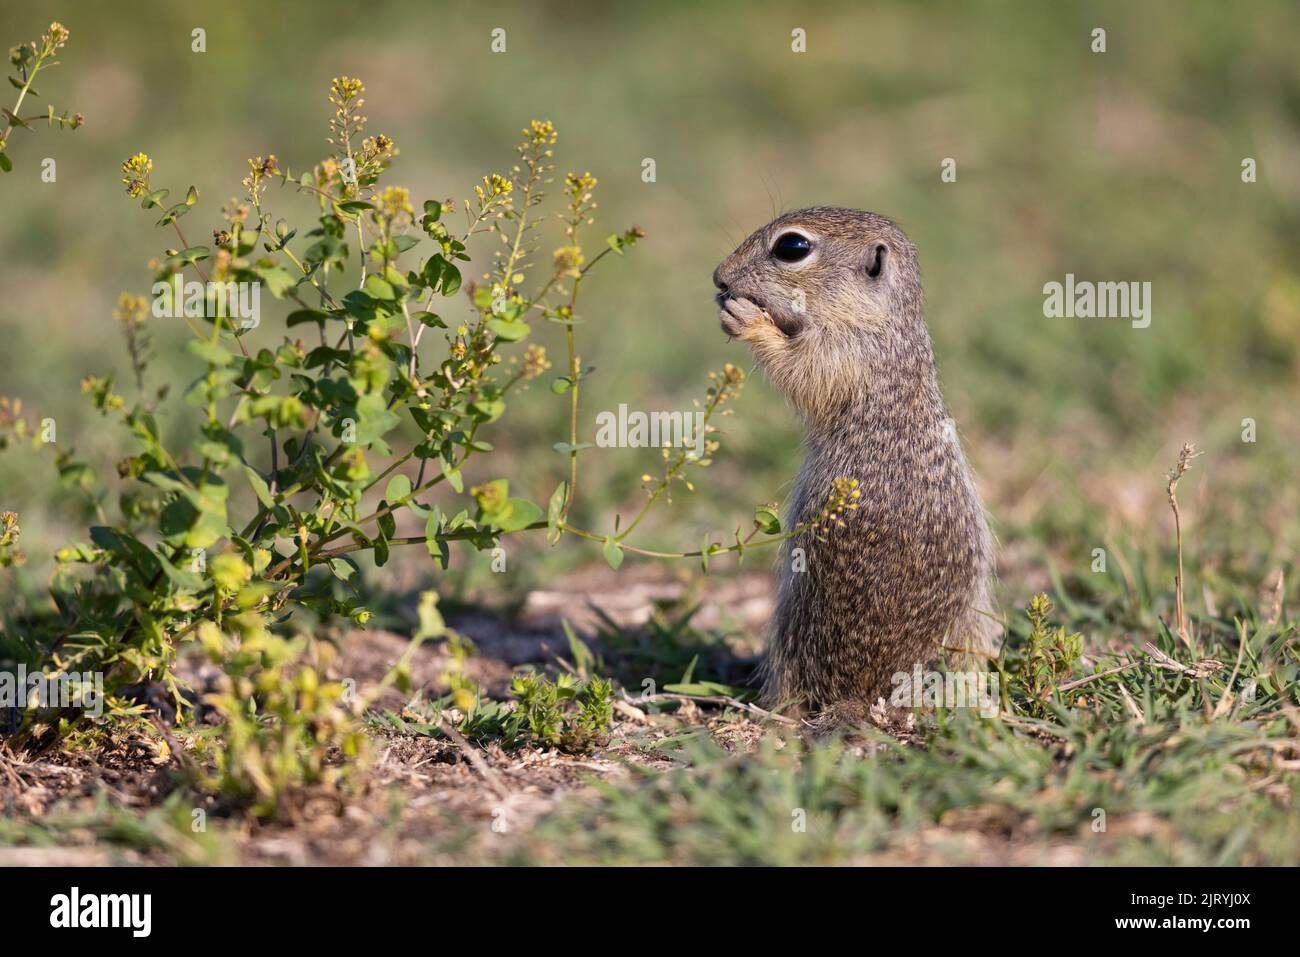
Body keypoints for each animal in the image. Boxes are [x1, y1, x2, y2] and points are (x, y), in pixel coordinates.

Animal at [713, 207, 999, 728]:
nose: (719, 277)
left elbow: (803, 371)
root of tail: (864, 692)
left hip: (790, 623)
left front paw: (745, 318)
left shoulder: (845, 353)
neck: (882, 320)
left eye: (792, 247)